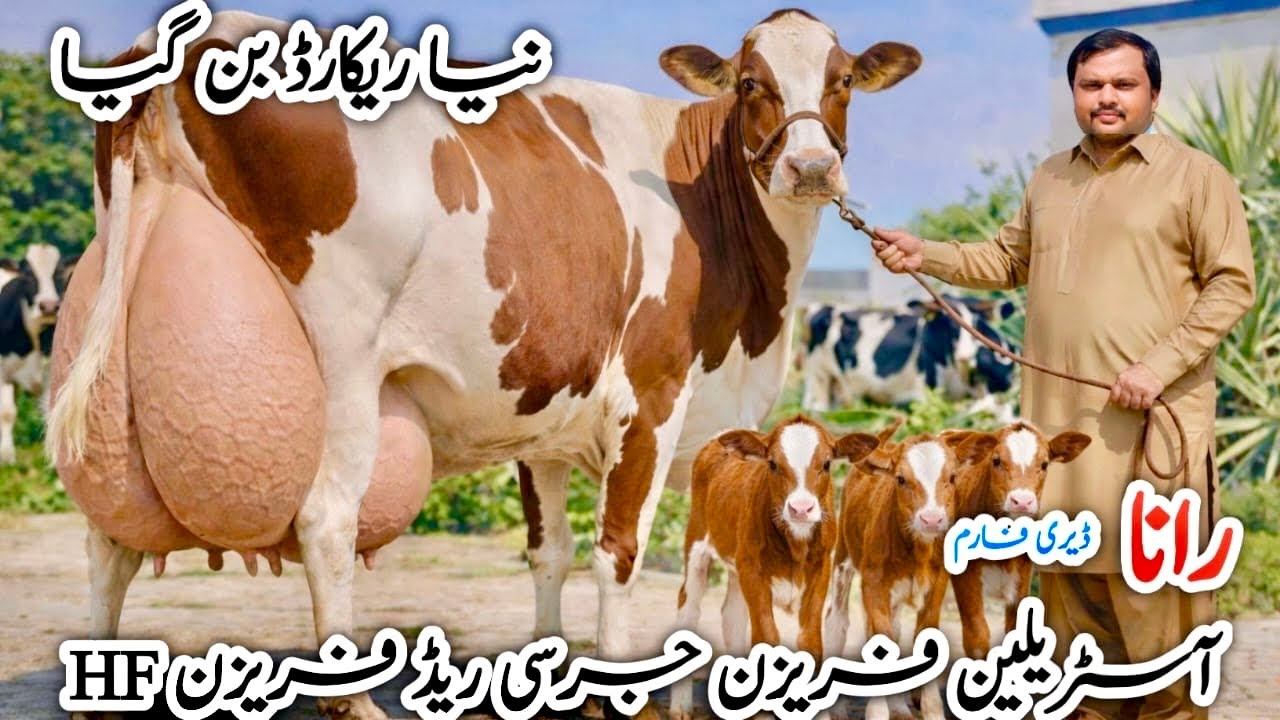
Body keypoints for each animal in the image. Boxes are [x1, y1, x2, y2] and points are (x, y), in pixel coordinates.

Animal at [0, 243, 79, 463]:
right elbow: (6, 413)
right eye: (28, 275)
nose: (49, 306)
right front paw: (6, 457)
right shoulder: (2, 372)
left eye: (59, 272)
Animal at [669, 416, 878, 719]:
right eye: (773, 464)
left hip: (736, 564)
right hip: (696, 541)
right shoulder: (753, 570)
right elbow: (766, 638)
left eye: (827, 463)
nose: (801, 509)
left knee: (732, 616)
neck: (795, 544)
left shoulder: (821, 569)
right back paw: (680, 706)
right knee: (688, 608)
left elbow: (810, 640)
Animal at [822, 423, 997, 720]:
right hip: (844, 558)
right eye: (901, 479)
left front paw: (931, 710)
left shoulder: (937, 585)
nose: (931, 519)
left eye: (952, 477)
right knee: (837, 622)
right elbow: (880, 640)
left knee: (894, 628)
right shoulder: (873, 584)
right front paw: (877, 712)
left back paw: (900, 707)